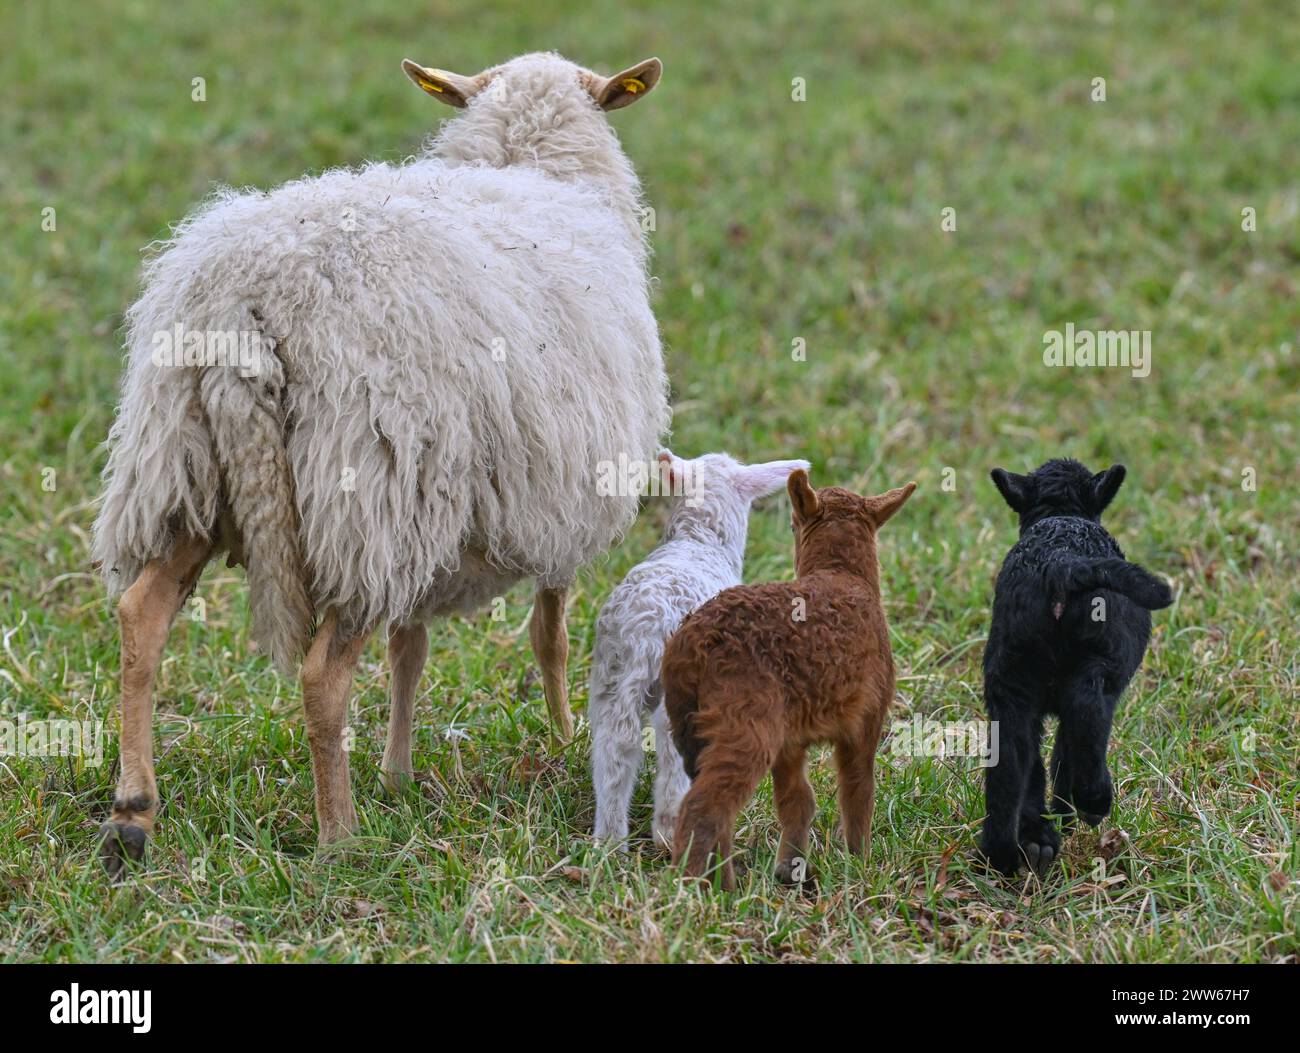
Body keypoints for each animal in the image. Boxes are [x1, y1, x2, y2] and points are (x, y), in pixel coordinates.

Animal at [92, 51, 669, 875]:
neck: (533, 166)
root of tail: (248, 295)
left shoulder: (443, 515)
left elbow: (410, 647)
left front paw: (398, 770)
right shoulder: (561, 498)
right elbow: (549, 633)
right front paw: (562, 735)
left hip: (190, 467)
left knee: (141, 615)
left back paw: (134, 810)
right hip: (365, 496)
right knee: (321, 676)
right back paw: (339, 838)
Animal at [589, 451, 809, 850]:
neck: (700, 540)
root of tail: (646, 627)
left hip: (608, 672)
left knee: (614, 744)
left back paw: (609, 841)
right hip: (675, 685)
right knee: (669, 753)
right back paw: (670, 832)